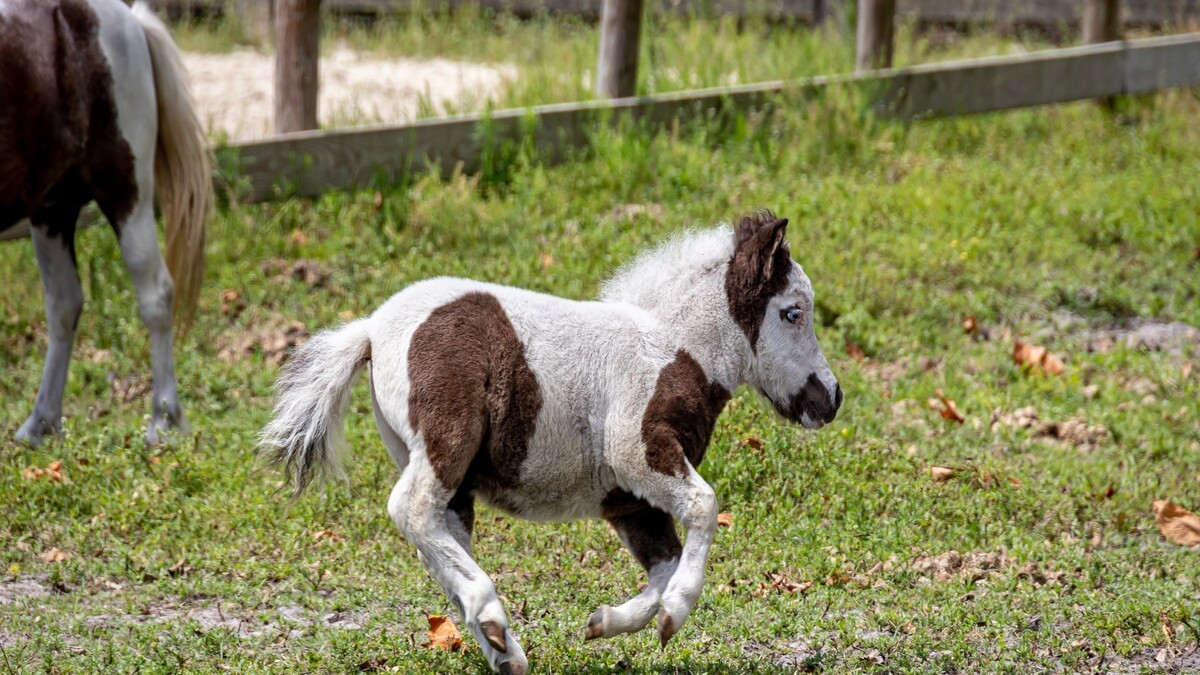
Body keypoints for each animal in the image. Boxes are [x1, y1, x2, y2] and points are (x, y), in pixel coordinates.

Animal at [1, 0, 211, 444]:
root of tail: (127, 18)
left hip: (124, 191)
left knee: (155, 293)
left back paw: (164, 419)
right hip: (51, 207)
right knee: (64, 303)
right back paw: (41, 423)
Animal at [261, 213, 842, 674]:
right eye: (793, 312)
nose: (830, 398)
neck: (674, 349)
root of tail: (372, 329)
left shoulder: (627, 499)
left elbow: (664, 563)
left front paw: (604, 622)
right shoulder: (639, 453)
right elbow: (704, 508)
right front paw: (674, 615)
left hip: (446, 473)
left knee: (439, 539)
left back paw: (505, 651)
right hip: (447, 443)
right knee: (411, 509)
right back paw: (492, 616)